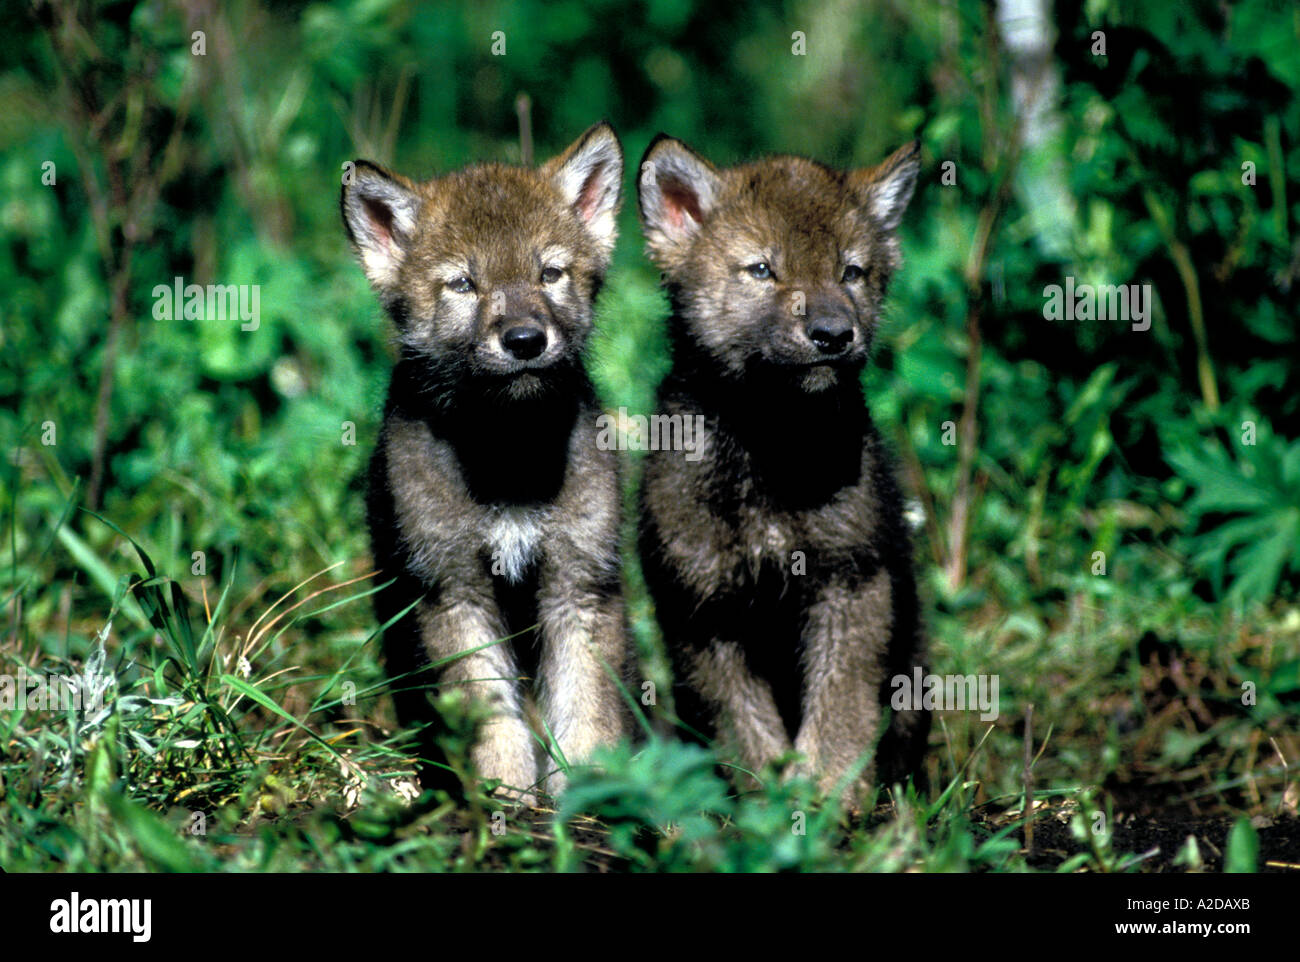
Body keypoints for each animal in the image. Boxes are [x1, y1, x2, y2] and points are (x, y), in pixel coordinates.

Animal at [341, 122, 629, 805]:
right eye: (463, 284)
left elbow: (586, 713)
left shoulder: (580, 586)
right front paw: (505, 802)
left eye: (550, 273)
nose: (525, 340)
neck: (508, 456)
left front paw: (589, 806)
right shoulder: (453, 591)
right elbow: (490, 719)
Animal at [635, 135, 930, 806]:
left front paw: (827, 793)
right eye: (762, 270)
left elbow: (839, 705)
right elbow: (742, 725)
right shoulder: (701, 605)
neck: (769, 448)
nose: (833, 333)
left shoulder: (851, 579)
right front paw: (768, 803)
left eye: (852, 272)